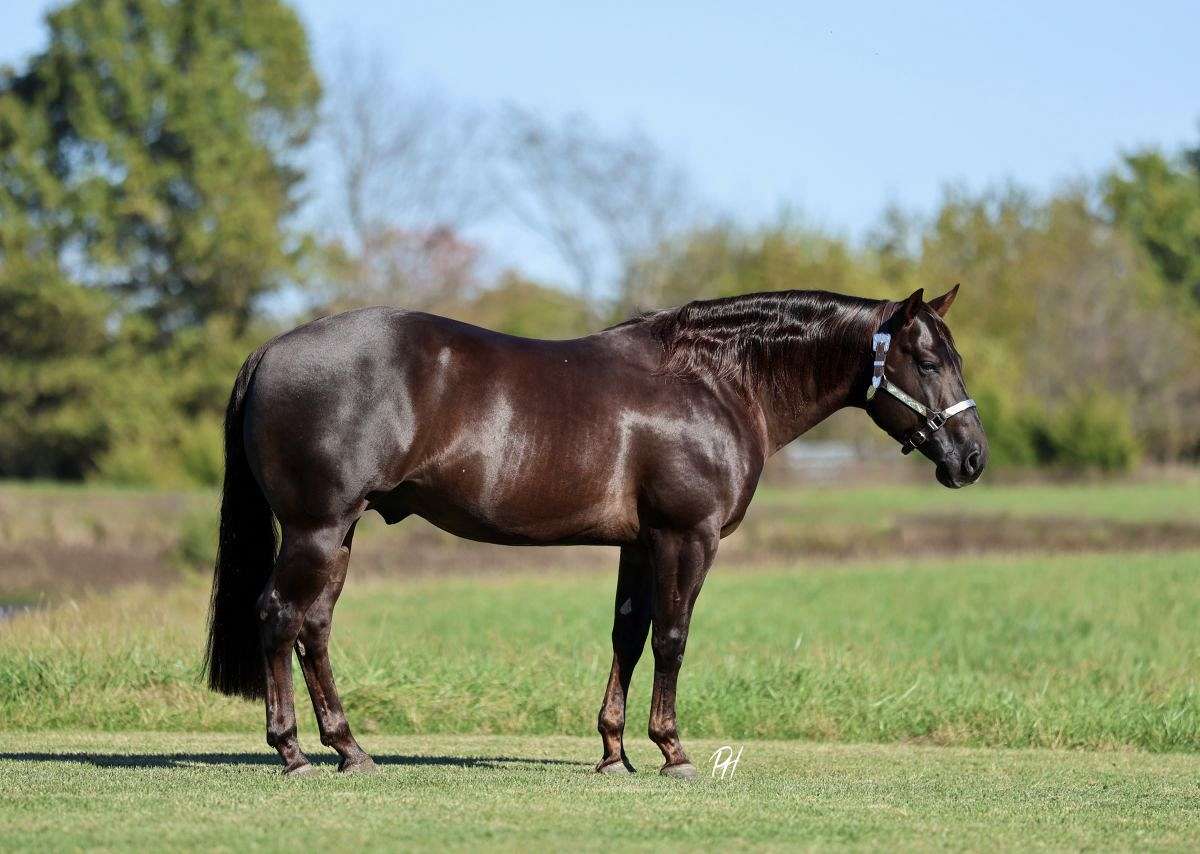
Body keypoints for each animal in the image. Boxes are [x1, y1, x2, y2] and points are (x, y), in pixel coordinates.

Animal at [204, 285, 987, 778]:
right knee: (279, 616)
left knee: (314, 628)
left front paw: (615, 753)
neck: (713, 381)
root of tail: (272, 350)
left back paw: (350, 750)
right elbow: (672, 638)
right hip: (316, 528)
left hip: (338, 535)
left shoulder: (639, 544)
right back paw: (293, 753)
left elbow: (628, 636)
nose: (972, 458)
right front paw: (673, 752)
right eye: (926, 360)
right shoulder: (686, 537)